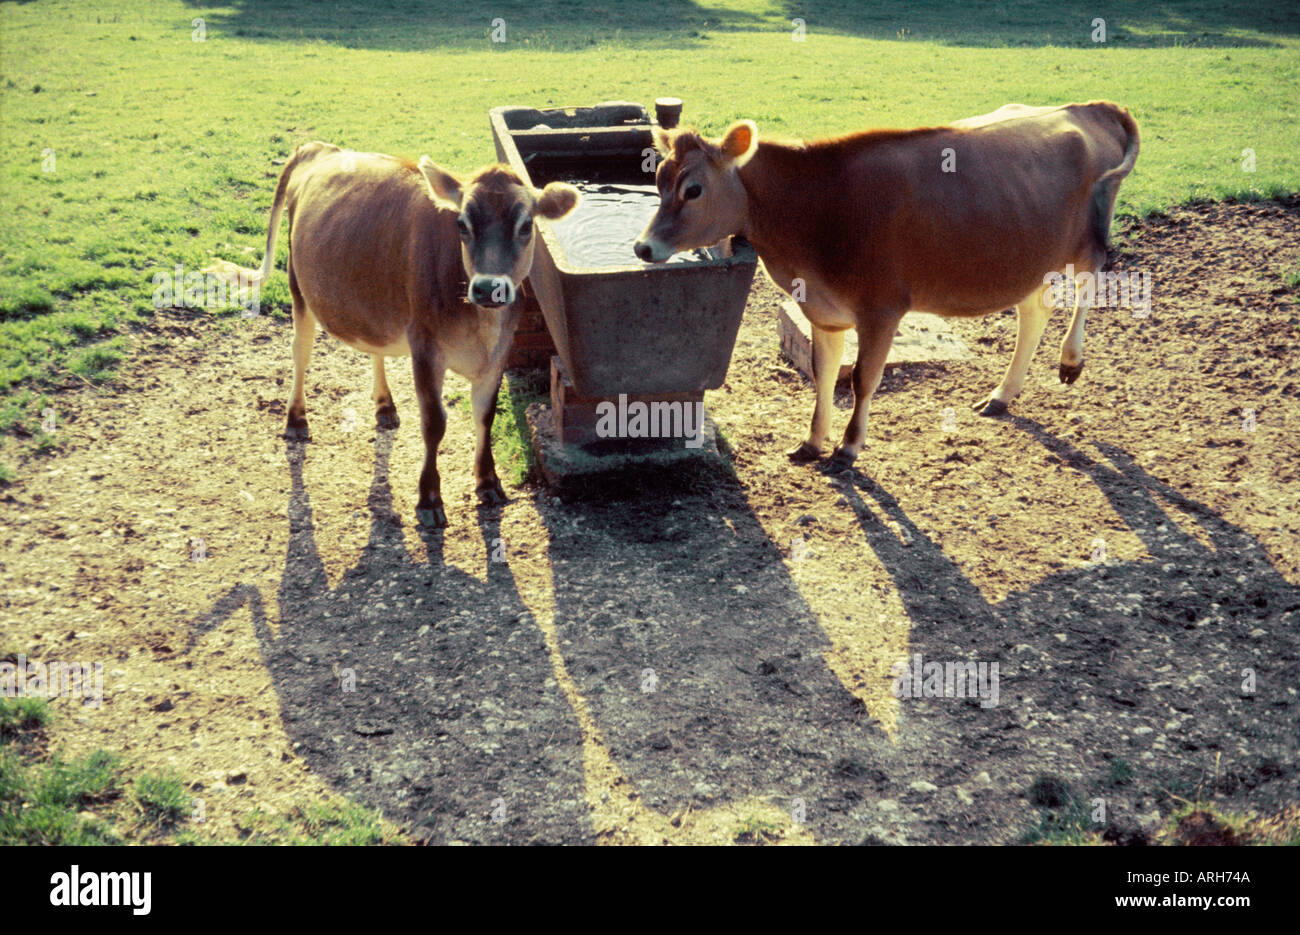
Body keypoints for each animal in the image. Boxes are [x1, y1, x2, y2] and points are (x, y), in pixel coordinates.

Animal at [207, 142, 578, 526]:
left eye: (526, 225)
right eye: (462, 223)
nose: (489, 288)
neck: (481, 326)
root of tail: (321, 148)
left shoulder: (500, 352)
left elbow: (485, 415)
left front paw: (488, 482)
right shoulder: (426, 346)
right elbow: (434, 423)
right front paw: (429, 499)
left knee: (375, 345)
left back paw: (385, 406)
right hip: (299, 286)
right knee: (300, 351)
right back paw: (296, 418)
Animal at [634, 102, 1140, 471]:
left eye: (693, 190)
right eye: (657, 179)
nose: (642, 246)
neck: (814, 213)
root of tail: (1088, 108)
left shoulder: (881, 308)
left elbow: (862, 379)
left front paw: (847, 448)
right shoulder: (824, 310)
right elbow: (822, 373)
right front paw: (813, 441)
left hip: (1087, 235)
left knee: (1093, 277)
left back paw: (1071, 360)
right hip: (1031, 256)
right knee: (1035, 310)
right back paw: (1002, 394)